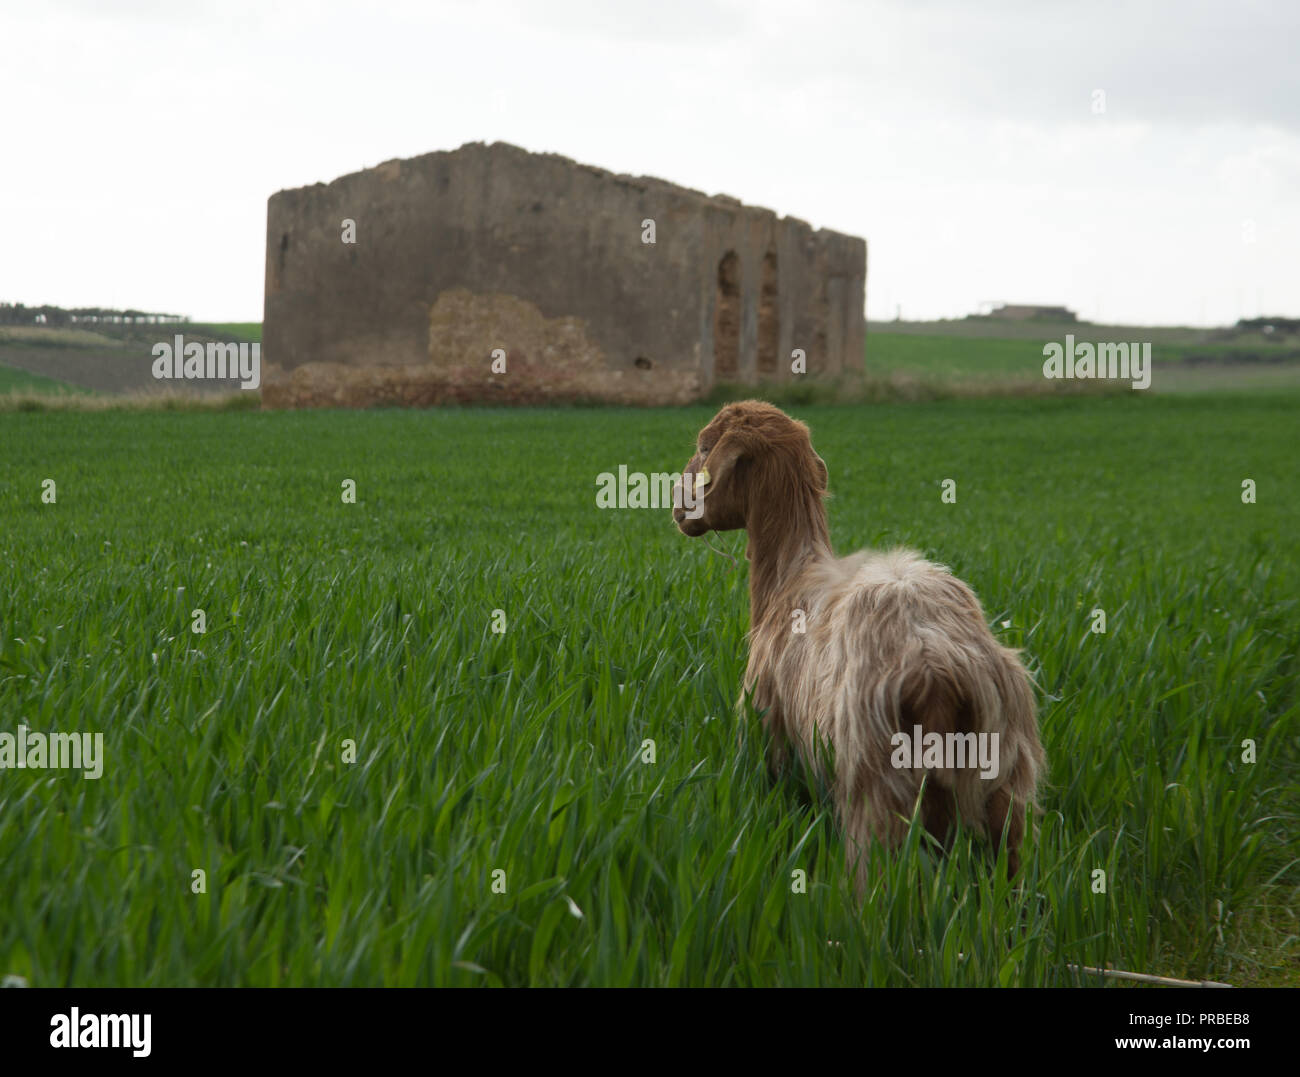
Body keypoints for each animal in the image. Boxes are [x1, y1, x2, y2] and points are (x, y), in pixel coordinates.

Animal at [671, 400, 1045, 889]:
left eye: (703, 446)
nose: (676, 507)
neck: (788, 578)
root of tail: (938, 668)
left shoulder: (767, 727)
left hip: (876, 791)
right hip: (1006, 787)